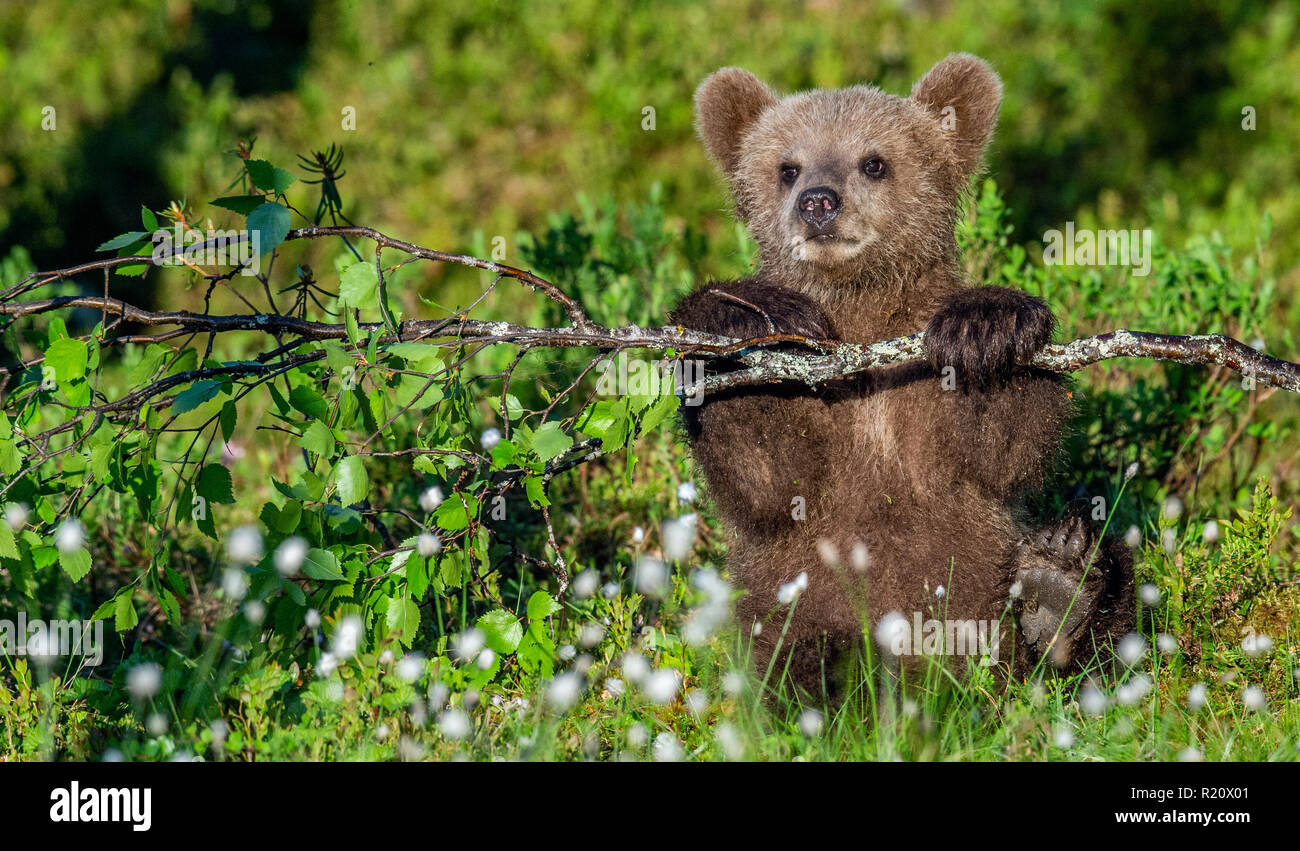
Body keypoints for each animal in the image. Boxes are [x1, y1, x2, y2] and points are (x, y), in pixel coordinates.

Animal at [670, 54, 1135, 699]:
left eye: (874, 161)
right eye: (787, 167)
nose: (818, 202)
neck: (862, 315)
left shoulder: (921, 395)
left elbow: (1003, 447)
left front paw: (987, 326)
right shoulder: (815, 401)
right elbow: (766, 468)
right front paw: (742, 315)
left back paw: (1063, 586)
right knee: (797, 661)